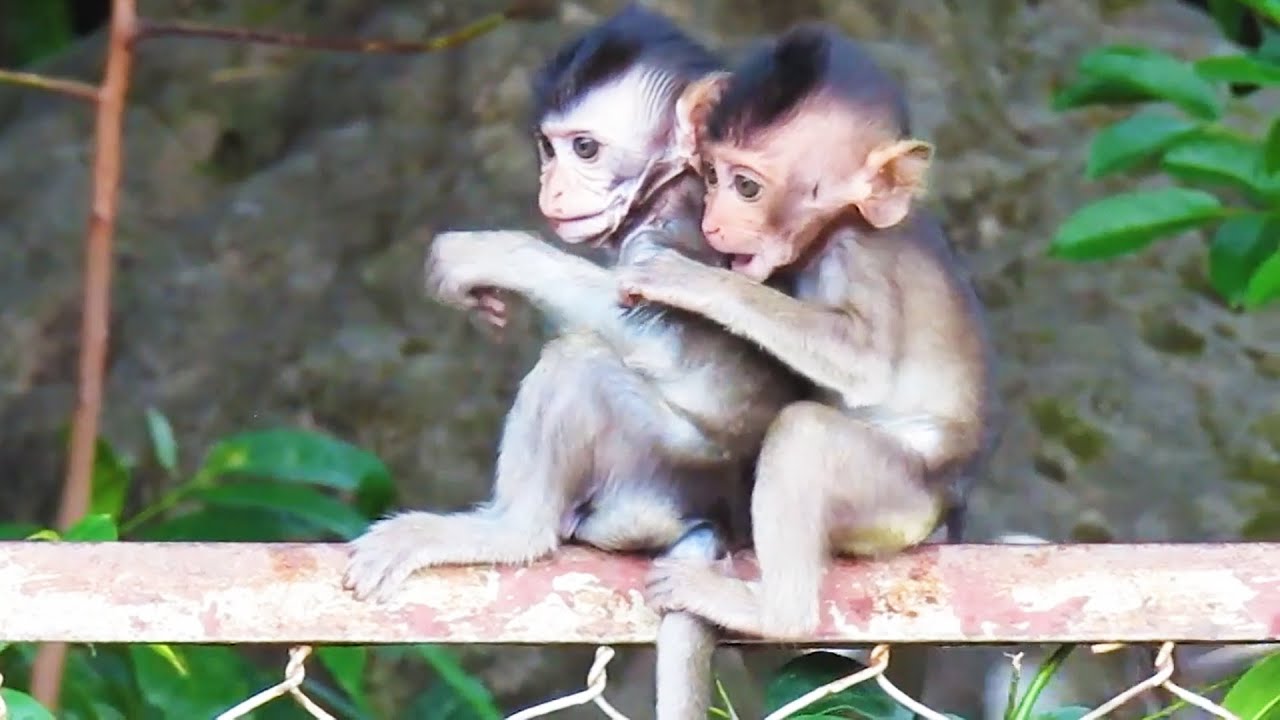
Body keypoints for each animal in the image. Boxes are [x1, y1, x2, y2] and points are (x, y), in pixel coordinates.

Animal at [341, 5, 807, 717]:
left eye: (585, 148)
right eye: (548, 147)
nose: (551, 188)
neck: (670, 185)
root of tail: (719, 516)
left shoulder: (678, 234)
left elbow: (663, 337)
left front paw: (487, 256)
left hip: (652, 473)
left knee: (579, 363)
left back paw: (511, 532)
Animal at [614, 22, 1000, 641]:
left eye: (747, 187)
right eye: (714, 175)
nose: (713, 221)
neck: (839, 223)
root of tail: (950, 499)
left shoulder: (859, 255)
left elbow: (864, 364)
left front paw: (688, 279)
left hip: (897, 499)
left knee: (805, 435)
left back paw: (772, 612)